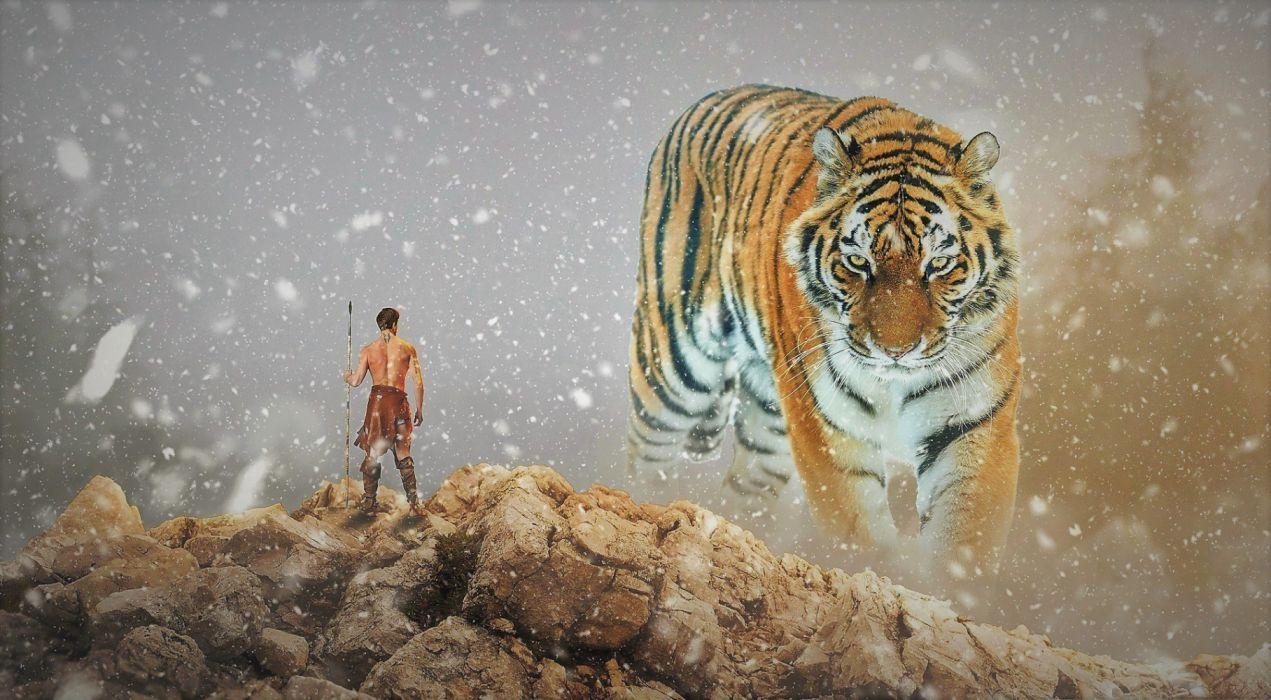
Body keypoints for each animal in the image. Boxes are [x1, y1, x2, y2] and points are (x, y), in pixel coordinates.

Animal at [625, 84, 1021, 574]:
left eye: (939, 264)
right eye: (857, 261)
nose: (895, 351)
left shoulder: (973, 427)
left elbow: (964, 543)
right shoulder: (831, 431)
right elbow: (858, 535)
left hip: (767, 420)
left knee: (747, 486)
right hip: (671, 372)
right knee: (646, 458)